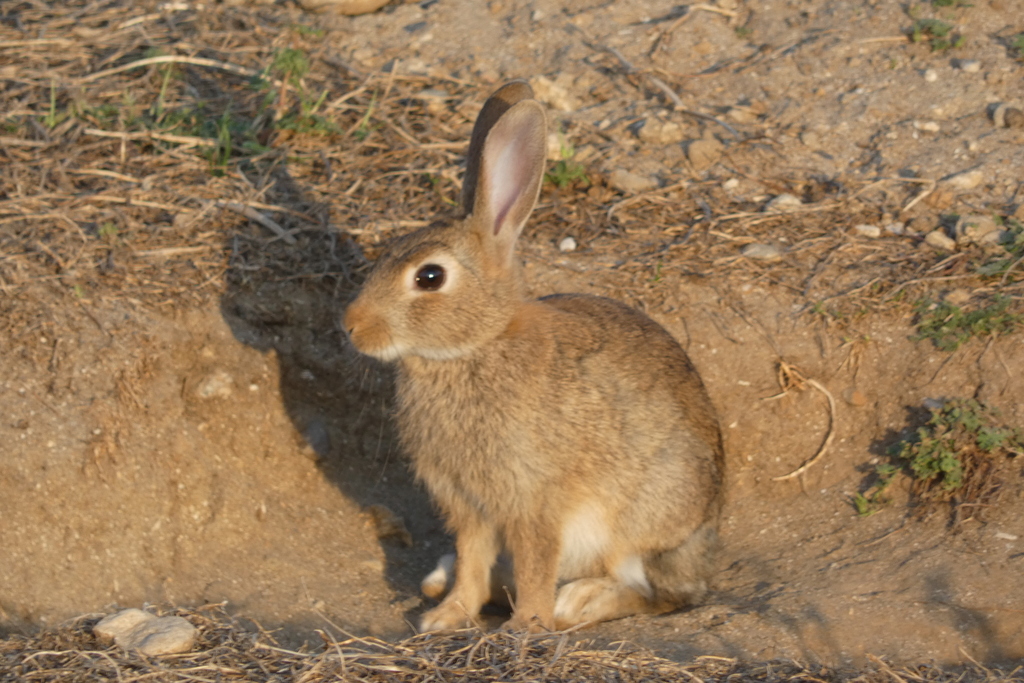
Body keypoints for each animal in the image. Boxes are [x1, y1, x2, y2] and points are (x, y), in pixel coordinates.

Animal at [343, 80, 724, 633]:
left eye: (429, 277)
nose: (350, 326)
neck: (477, 346)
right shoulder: (469, 505)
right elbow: (473, 559)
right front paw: (445, 617)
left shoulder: (534, 501)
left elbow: (536, 563)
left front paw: (528, 626)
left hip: (644, 522)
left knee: (662, 594)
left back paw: (580, 602)